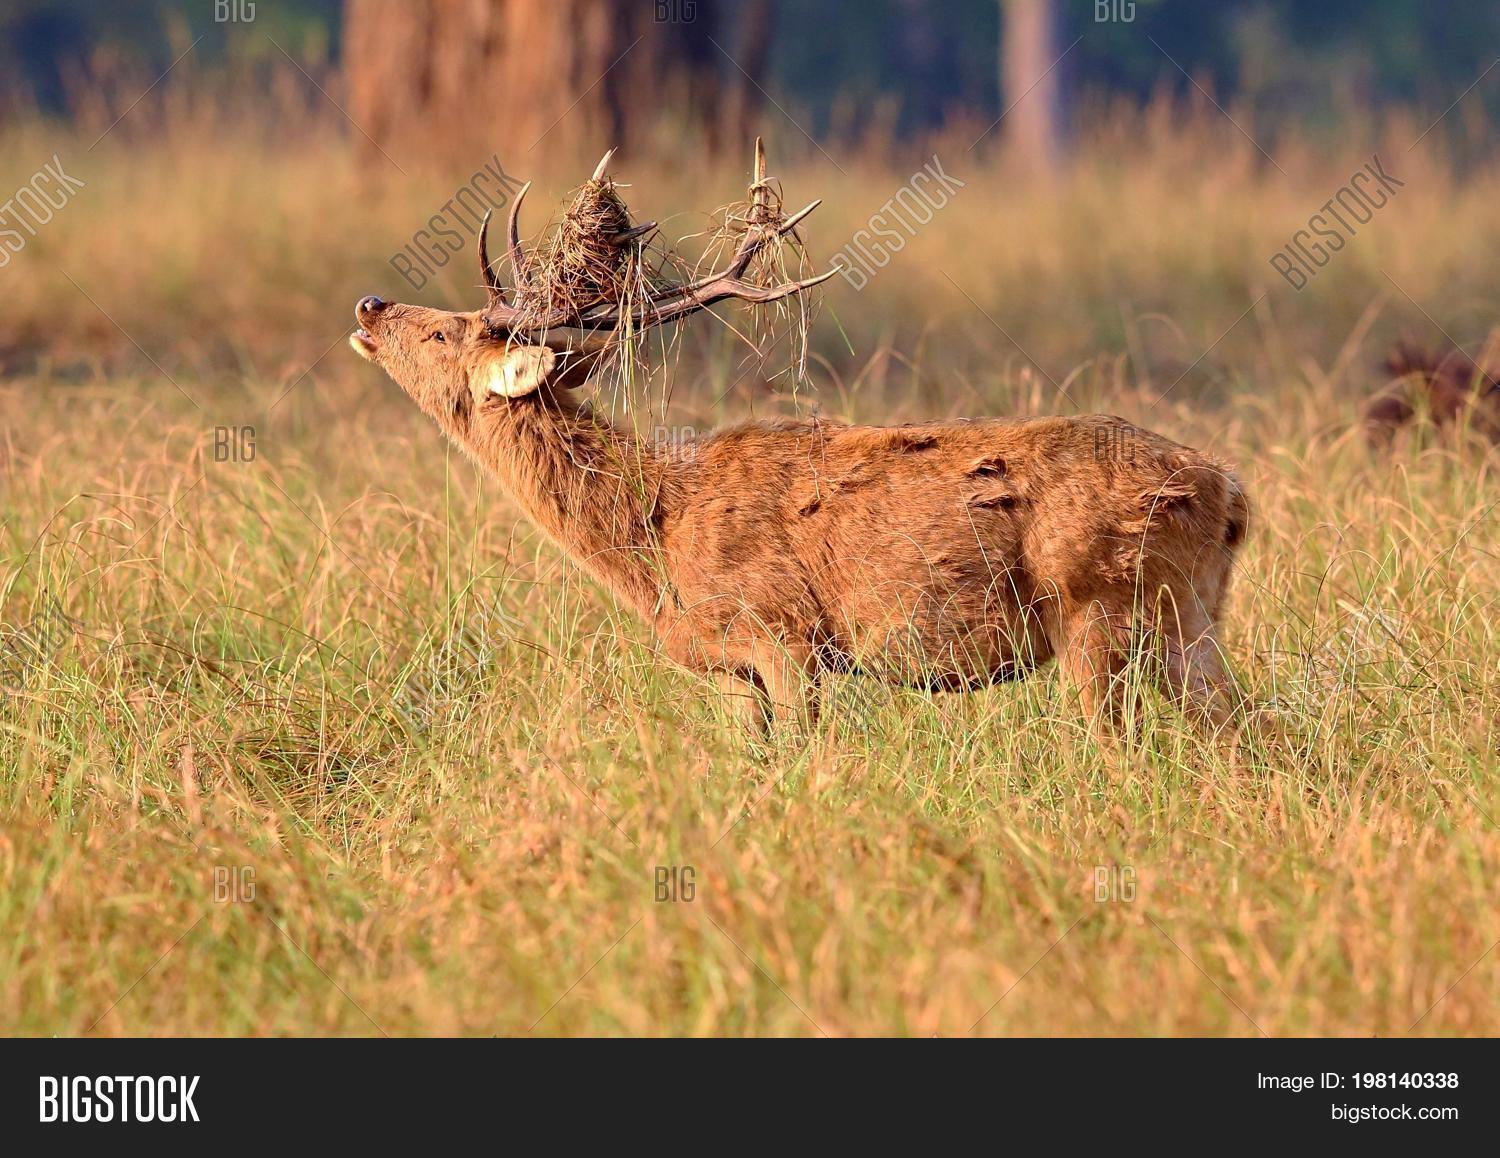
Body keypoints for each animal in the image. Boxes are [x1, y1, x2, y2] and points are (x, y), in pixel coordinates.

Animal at [349, 145, 1251, 738]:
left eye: (448, 334)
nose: (370, 304)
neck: (653, 544)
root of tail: (1230, 493)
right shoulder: (725, 667)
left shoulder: (784, 633)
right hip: (1191, 618)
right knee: (1242, 729)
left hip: (1100, 606)